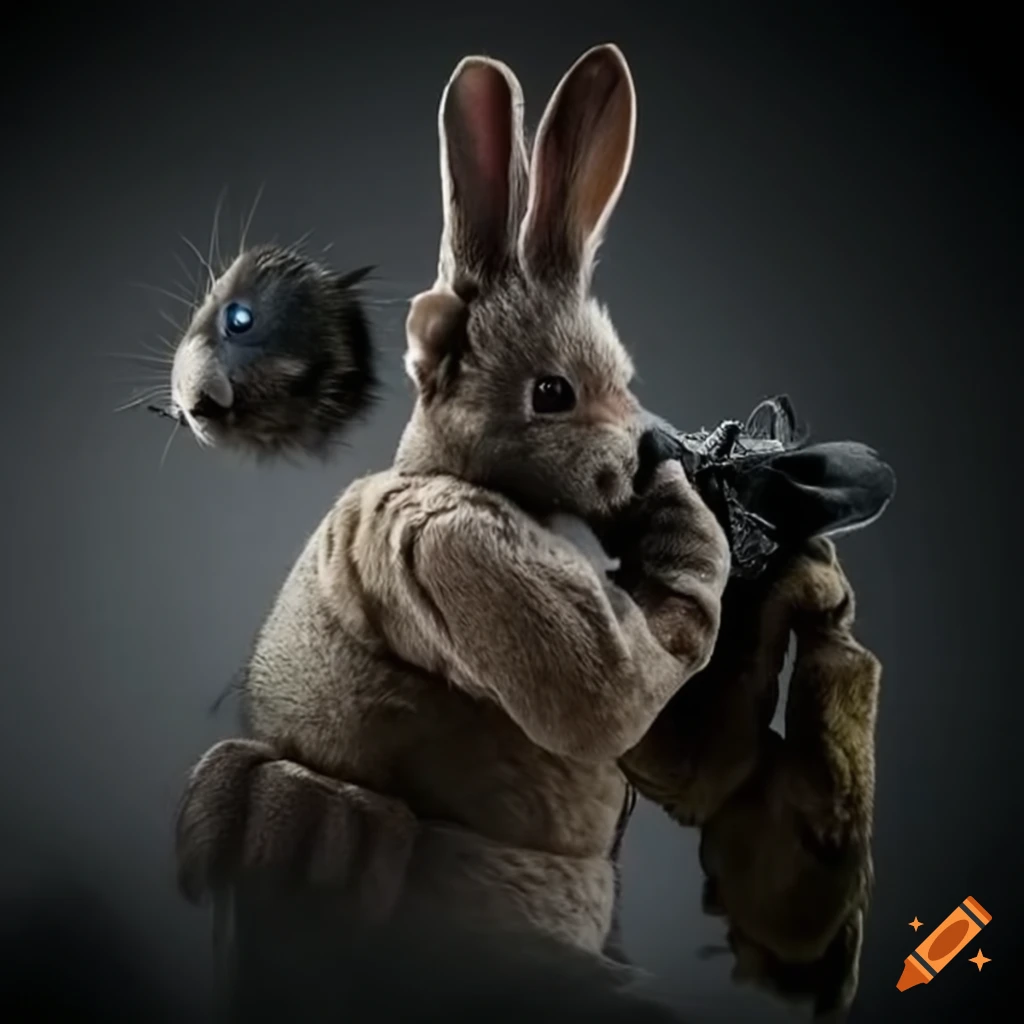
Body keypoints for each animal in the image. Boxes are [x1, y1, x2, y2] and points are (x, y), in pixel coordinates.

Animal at [176, 41, 732, 971]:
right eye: (553, 394)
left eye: (625, 379)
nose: (638, 461)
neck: (443, 471)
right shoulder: (455, 540)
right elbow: (604, 697)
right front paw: (681, 521)